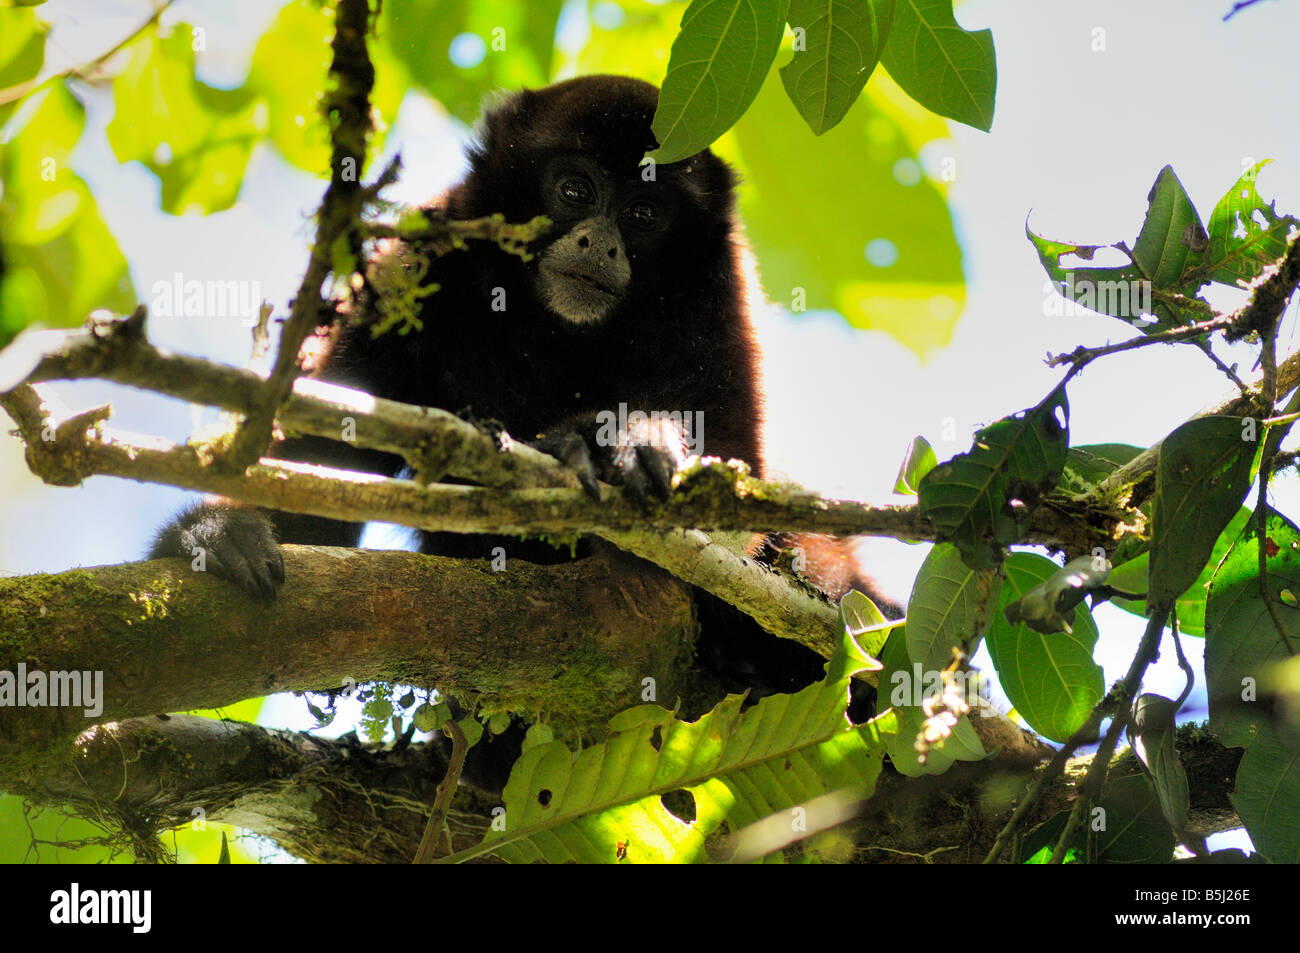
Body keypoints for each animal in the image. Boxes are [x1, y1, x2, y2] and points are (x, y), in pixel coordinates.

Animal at [151, 75, 898, 786]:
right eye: (574, 190)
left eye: (643, 213)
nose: (600, 240)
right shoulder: (420, 259)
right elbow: (330, 451)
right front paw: (214, 534)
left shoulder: (719, 292)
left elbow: (737, 473)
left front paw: (623, 445)